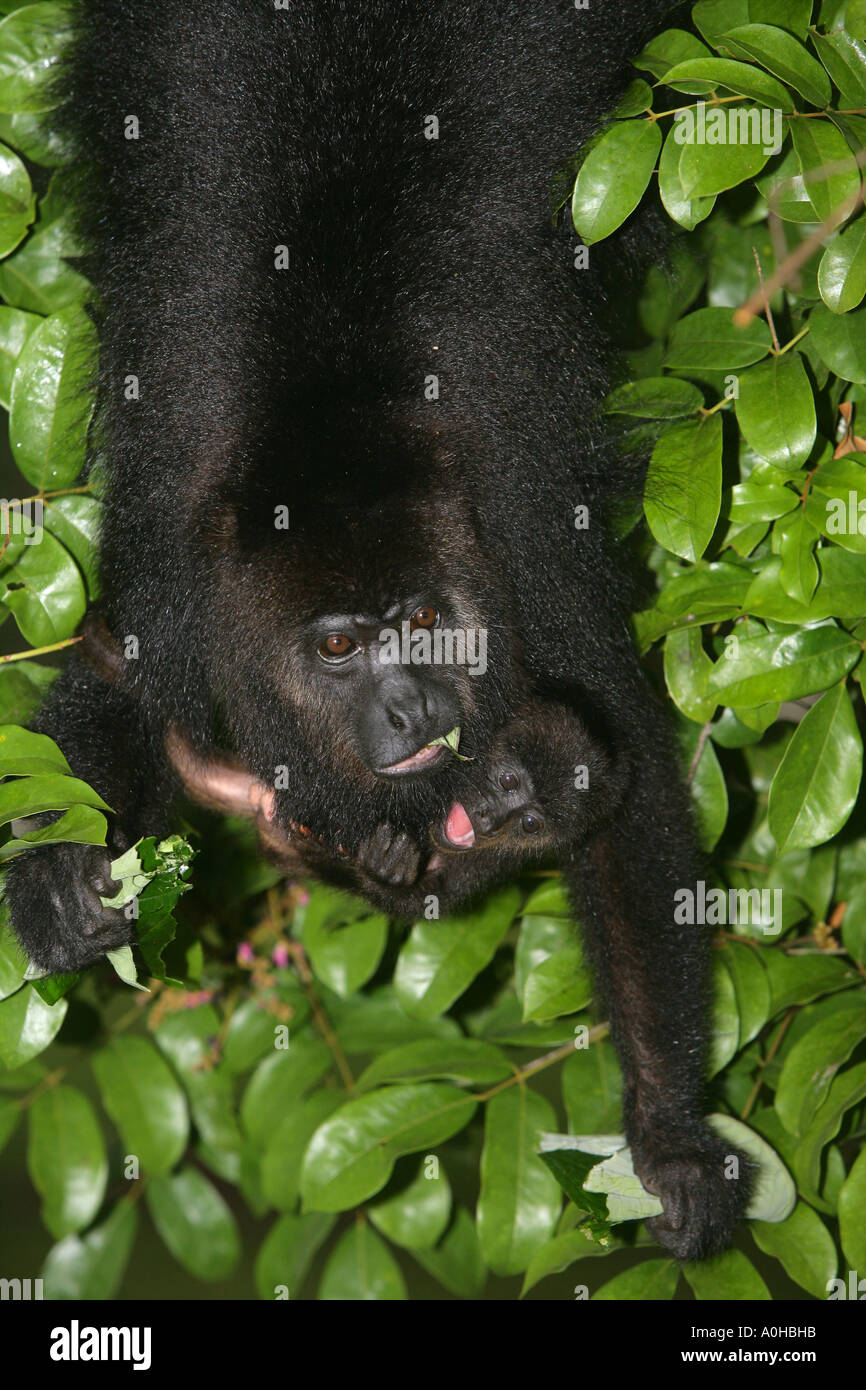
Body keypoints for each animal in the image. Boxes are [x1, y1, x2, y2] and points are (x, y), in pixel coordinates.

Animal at [2, 1, 751, 1259]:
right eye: (339, 648)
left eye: (426, 622)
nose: (414, 705)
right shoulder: (180, 539)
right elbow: (130, 677)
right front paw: (58, 870)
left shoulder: (516, 528)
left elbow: (620, 755)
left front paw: (669, 1133)